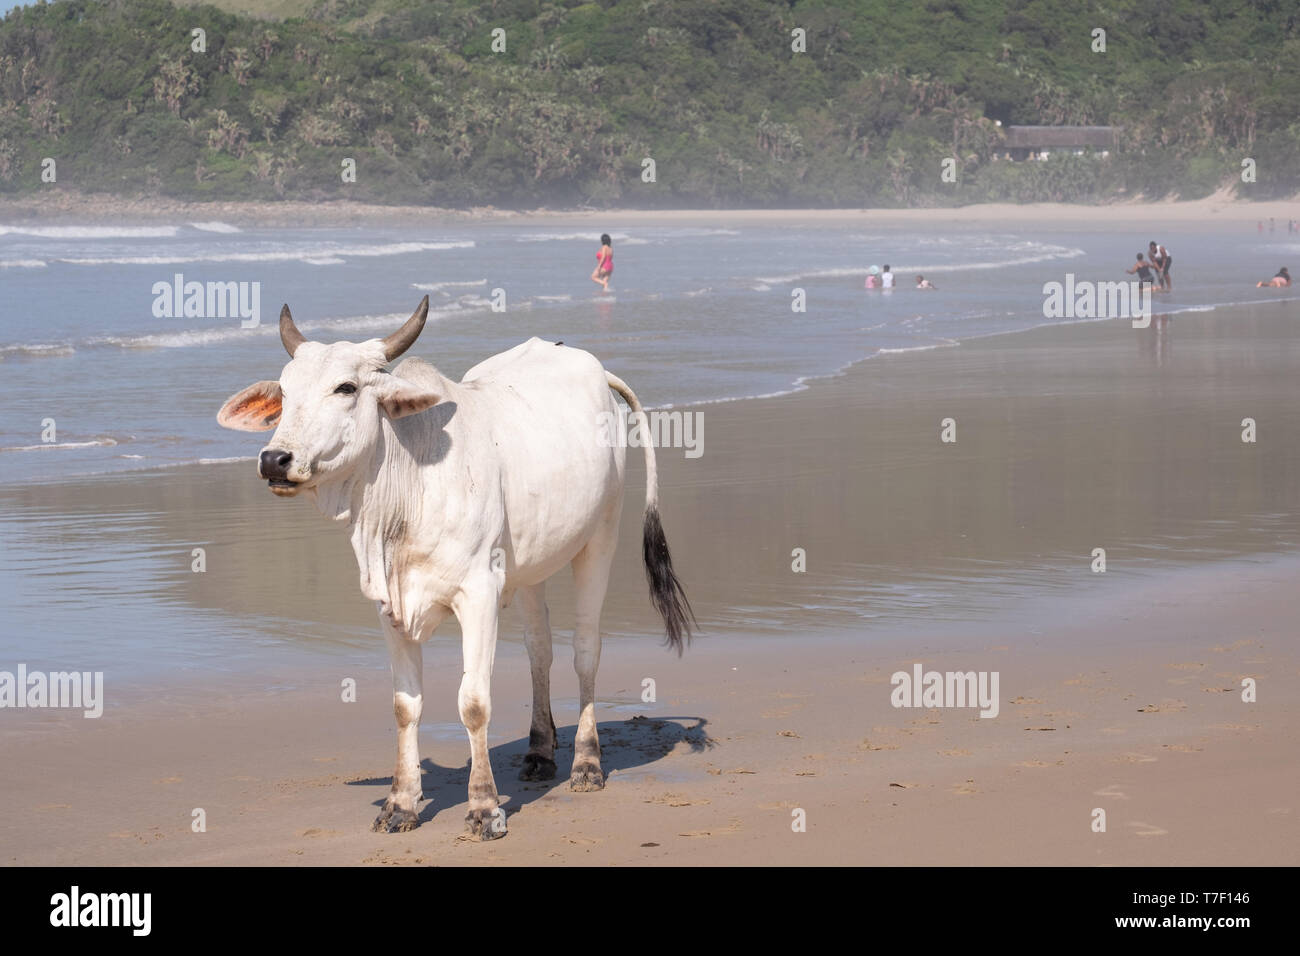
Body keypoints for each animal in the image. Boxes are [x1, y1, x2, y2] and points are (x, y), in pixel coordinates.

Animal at [217, 296, 693, 839]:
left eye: (346, 388)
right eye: (285, 391)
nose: (275, 459)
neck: (412, 483)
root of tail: (592, 367)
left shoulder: (479, 594)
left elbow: (474, 702)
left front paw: (484, 807)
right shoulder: (389, 605)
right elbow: (406, 705)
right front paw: (401, 804)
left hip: (601, 538)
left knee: (585, 651)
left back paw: (587, 764)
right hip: (531, 567)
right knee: (540, 651)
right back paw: (539, 751)